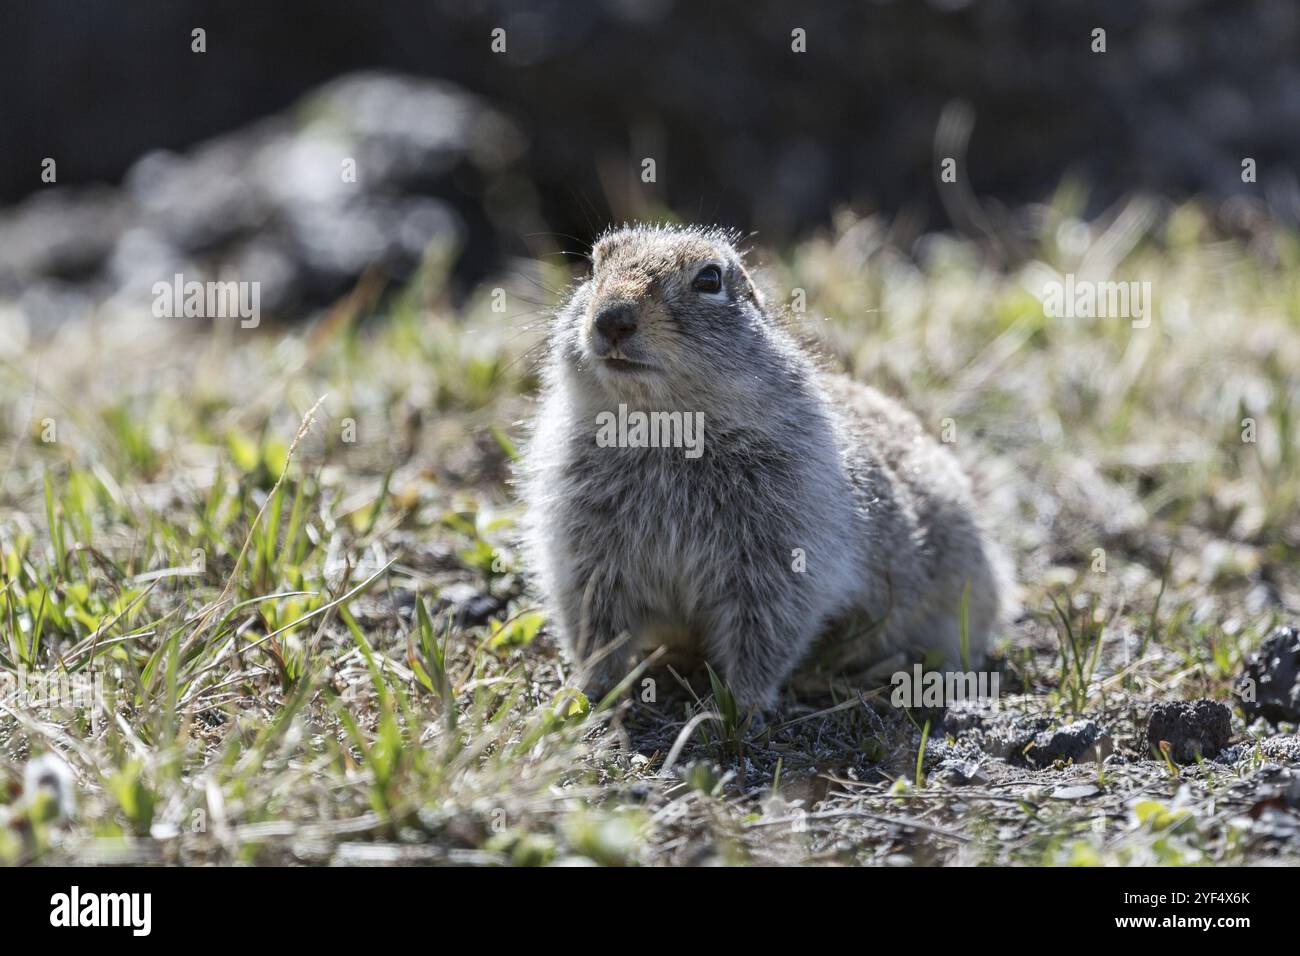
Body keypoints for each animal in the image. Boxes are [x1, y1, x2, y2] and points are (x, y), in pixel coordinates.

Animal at [518, 224, 1011, 711]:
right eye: (593, 266)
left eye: (709, 279)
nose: (611, 318)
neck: (665, 430)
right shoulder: (585, 552)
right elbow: (594, 624)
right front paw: (589, 692)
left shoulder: (778, 556)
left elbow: (765, 630)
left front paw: (741, 704)